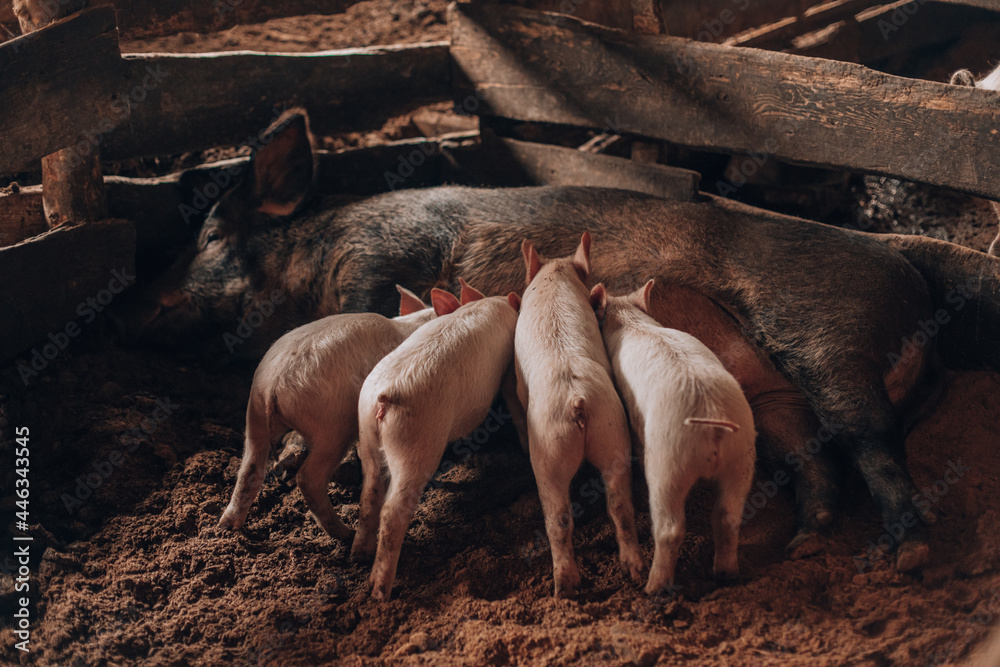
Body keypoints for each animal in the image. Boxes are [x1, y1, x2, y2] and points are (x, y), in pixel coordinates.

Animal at [217, 285, 434, 540]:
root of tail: (274, 385)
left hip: (255, 412)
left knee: (249, 470)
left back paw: (226, 527)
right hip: (331, 426)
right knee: (308, 478)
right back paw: (346, 533)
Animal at [351, 282, 520, 601]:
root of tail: (384, 398)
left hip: (366, 436)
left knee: (369, 494)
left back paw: (358, 555)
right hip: (416, 442)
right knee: (392, 511)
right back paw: (380, 592)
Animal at [514, 232, 644, 597]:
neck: (556, 275)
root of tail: (578, 400)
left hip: (549, 450)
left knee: (558, 518)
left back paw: (564, 589)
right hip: (613, 433)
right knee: (621, 507)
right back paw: (635, 572)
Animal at [591, 280, 756, 593]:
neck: (631, 320)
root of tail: (711, 415)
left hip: (668, 460)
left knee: (670, 528)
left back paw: (652, 588)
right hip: (742, 454)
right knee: (728, 516)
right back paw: (726, 576)